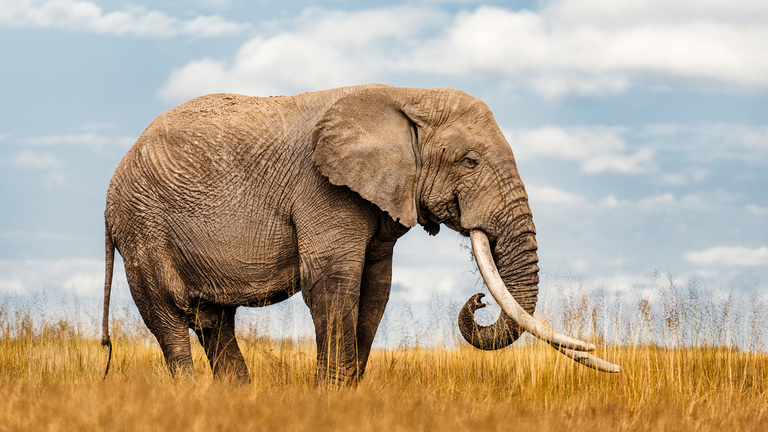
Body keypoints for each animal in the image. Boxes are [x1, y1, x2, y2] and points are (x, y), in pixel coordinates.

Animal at [101, 84, 618, 385]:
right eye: (470, 161)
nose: (478, 300)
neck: (407, 96)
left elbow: (375, 290)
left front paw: (346, 393)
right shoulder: (322, 189)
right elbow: (334, 284)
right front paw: (329, 396)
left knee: (214, 321)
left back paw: (238, 398)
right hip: (143, 228)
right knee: (169, 319)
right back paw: (192, 396)